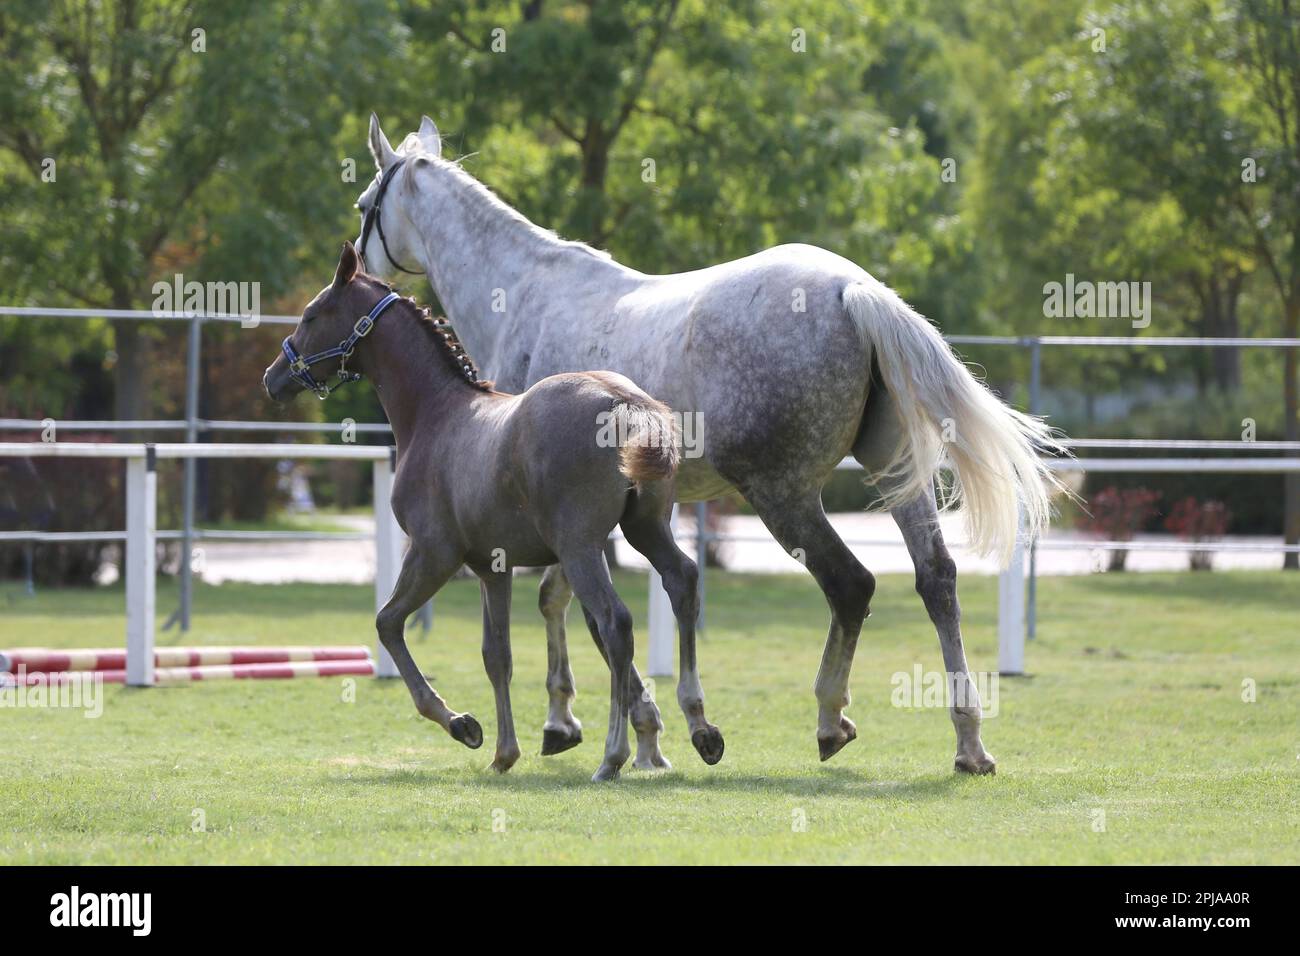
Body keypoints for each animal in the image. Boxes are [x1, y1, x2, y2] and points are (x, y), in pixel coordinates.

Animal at [263, 242, 721, 782]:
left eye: (312, 315)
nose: (273, 377)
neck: (436, 413)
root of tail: (626, 401)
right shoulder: (491, 568)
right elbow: (496, 655)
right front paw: (504, 751)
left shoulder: (434, 553)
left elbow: (388, 622)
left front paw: (462, 724)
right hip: (645, 529)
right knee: (682, 581)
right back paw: (701, 727)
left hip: (581, 548)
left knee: (615, 623)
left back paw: (612, 755)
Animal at [354, 114, 1067, 775]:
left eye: (365, 206)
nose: (357, 269)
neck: (527, 296)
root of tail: (852, 290)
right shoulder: (580, 520)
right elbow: (570, 601)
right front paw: (595, 725)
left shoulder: (568, 520)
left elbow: (579, 611)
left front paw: (608, 728)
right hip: (891, 474)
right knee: (935, 578)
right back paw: (968, 743)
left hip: (783, 497)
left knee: (850, 585)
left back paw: (830, 718)